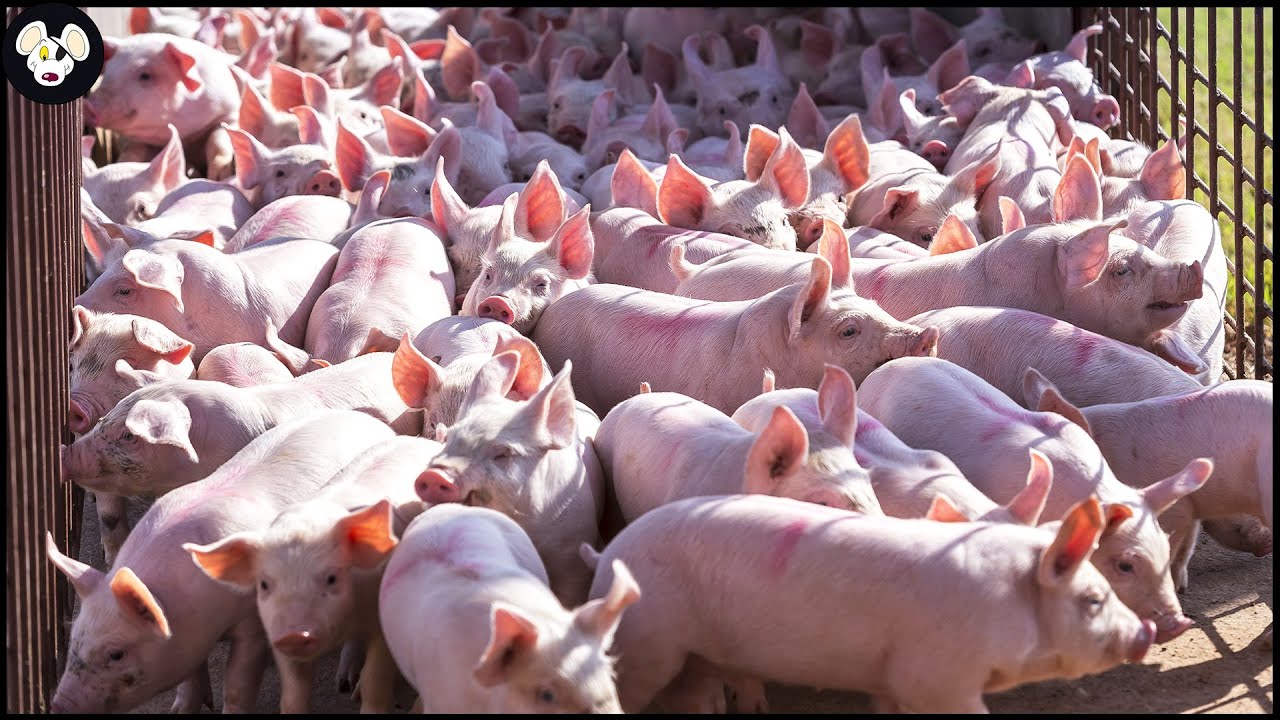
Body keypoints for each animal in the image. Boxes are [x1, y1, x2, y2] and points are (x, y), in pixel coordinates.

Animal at [45, 410, 394, 714]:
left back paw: (346, 685)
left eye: (116, 654)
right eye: (73, 637)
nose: (59, 706)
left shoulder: (252, 621)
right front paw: (181, 709)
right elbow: (191, 676)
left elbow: (238, 683)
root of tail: (375, 424)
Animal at [84, 34, 241, 179]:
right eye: (107, 74)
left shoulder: (228, 114)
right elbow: (131, 154)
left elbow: (218, 144)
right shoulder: (136, 140)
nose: (88, 104)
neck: (184, 133)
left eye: (145, 75)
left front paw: (218, 177)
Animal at [185, 435, 439, 713]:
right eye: (264, 584)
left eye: (331, 578)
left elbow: (376, 681)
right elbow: (293, 695)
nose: (294, 635)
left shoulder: (382, 620)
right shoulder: (276, 633)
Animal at [590, 493, 1153, 713]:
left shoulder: (890, 679)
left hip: (695, 657)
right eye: (1094, 599)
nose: (1145, 632)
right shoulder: (937, 675)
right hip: (649, 643)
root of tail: (607, 556)